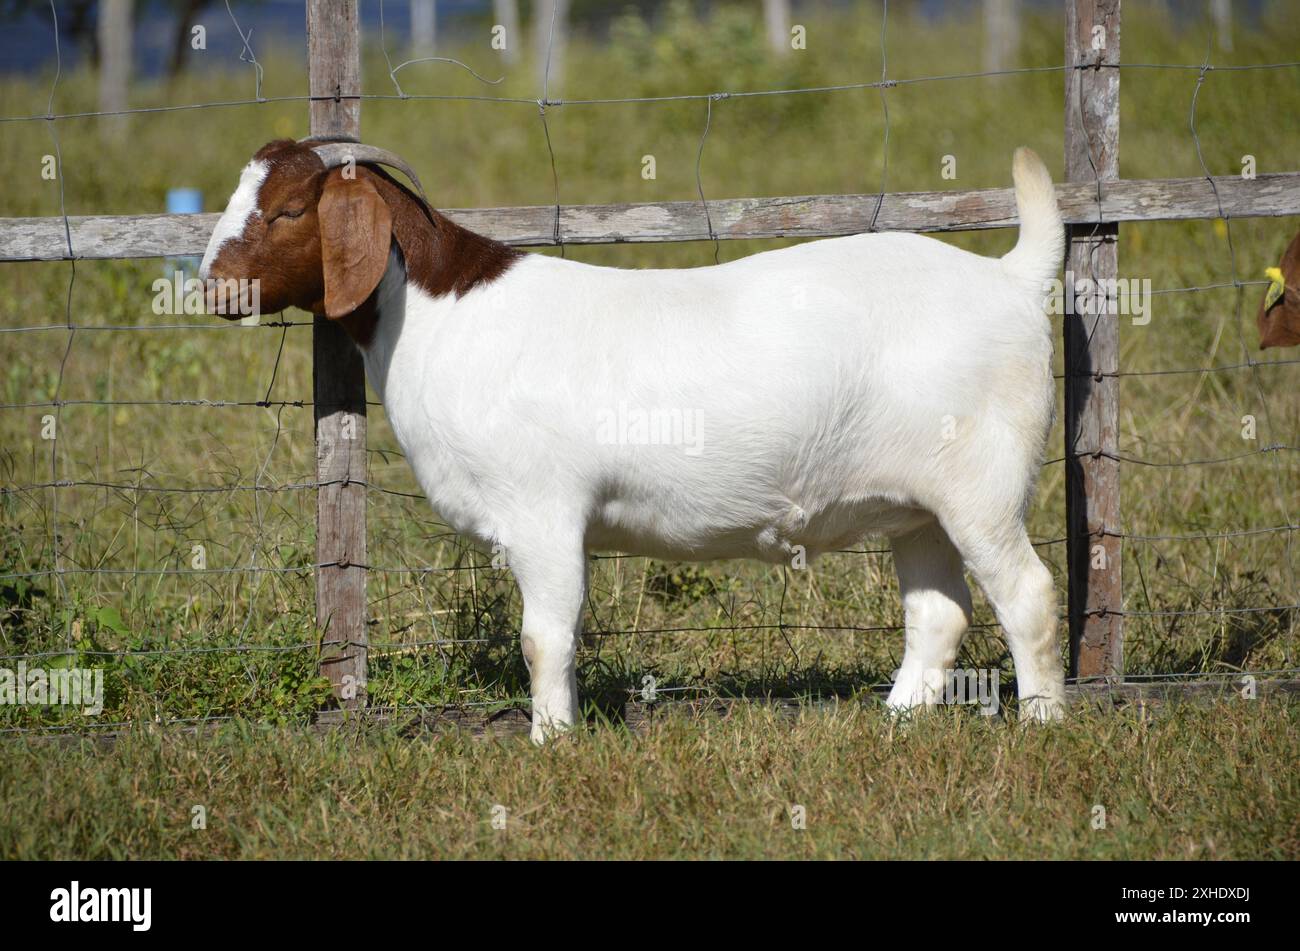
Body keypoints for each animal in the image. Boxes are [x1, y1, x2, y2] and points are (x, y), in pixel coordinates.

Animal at [201, 137, 1067, 743]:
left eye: (286, 210)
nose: (211, 287)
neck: (443, 312)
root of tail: (1011, 277)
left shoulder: (544, 511)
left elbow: (544, 637)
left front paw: (551, 740)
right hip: (918, 504)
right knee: (939, 613)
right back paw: (897, 720)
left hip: (982, 488)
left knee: (1027, 592)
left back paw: (1043, 723)